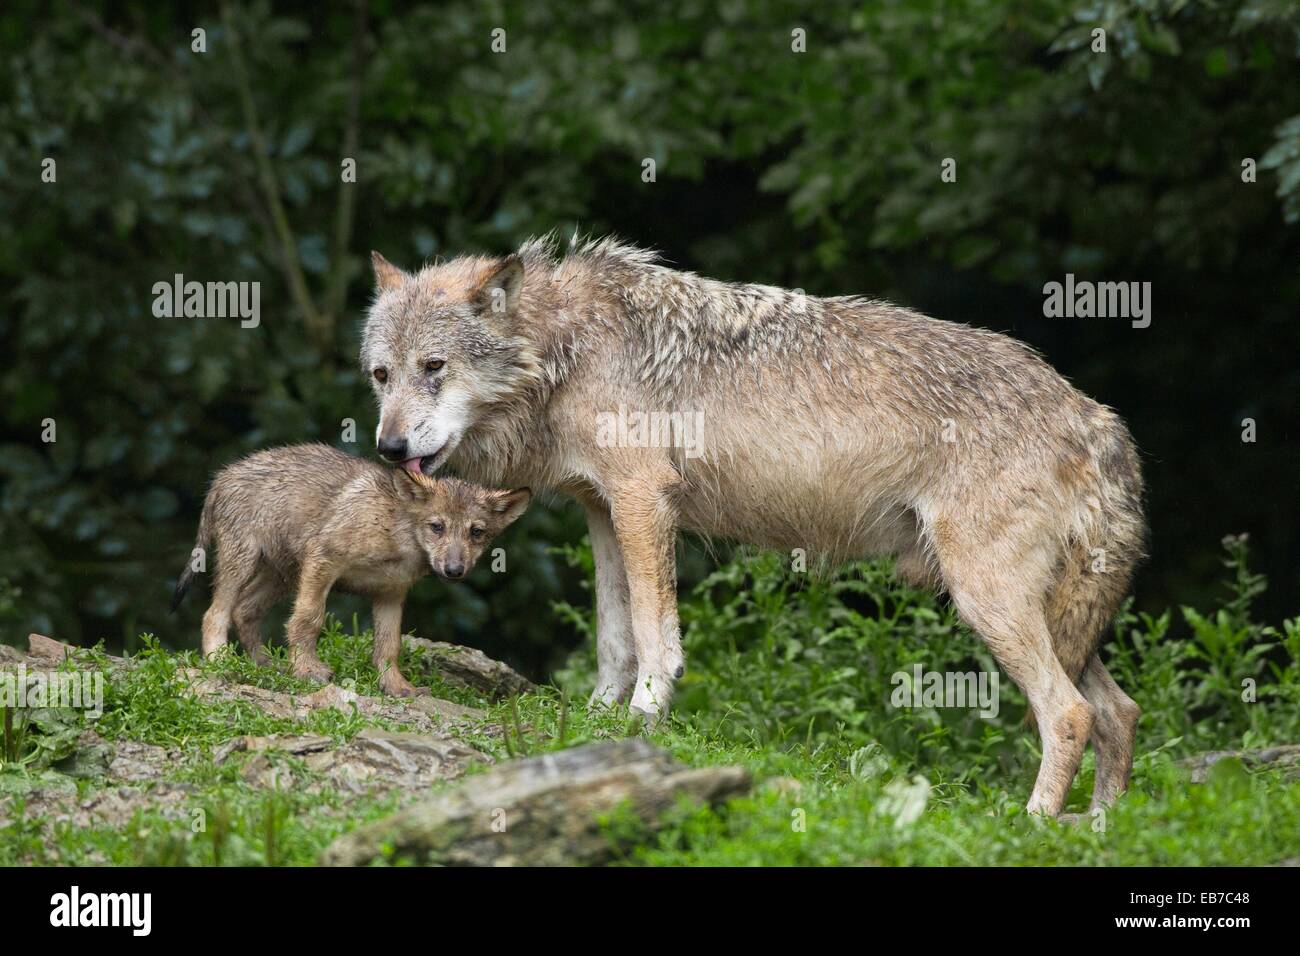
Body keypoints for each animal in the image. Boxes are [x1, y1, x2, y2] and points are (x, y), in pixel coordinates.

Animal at [171, 443, 530, 696]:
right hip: (243, 561)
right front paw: (308, 669)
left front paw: (397, 687)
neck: (399, 537)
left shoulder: (390, 594)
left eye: (476, 532)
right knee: (215, 613)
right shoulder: (323, 560)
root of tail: (221, 477)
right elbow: (308, 620)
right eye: (437, 527)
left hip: (283, 575)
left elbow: (389, 645)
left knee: (244, 610)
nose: (455, 569)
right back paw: (221, 660)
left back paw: (264, 665)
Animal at [360, 235, 1146, 815]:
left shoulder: (643, 498)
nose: (389, 448)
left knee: (1070, 714)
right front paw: (599, 720)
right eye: (380, 375)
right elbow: (614, 636)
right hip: (1050, 616)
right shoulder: (603, 511)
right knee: (1120, 711)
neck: (562, 349)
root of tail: (1097, 419)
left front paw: (645, 716)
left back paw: (1034, 824)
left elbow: (653, 635)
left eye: (434, 366)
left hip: (986, 600)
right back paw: (1096, 829)